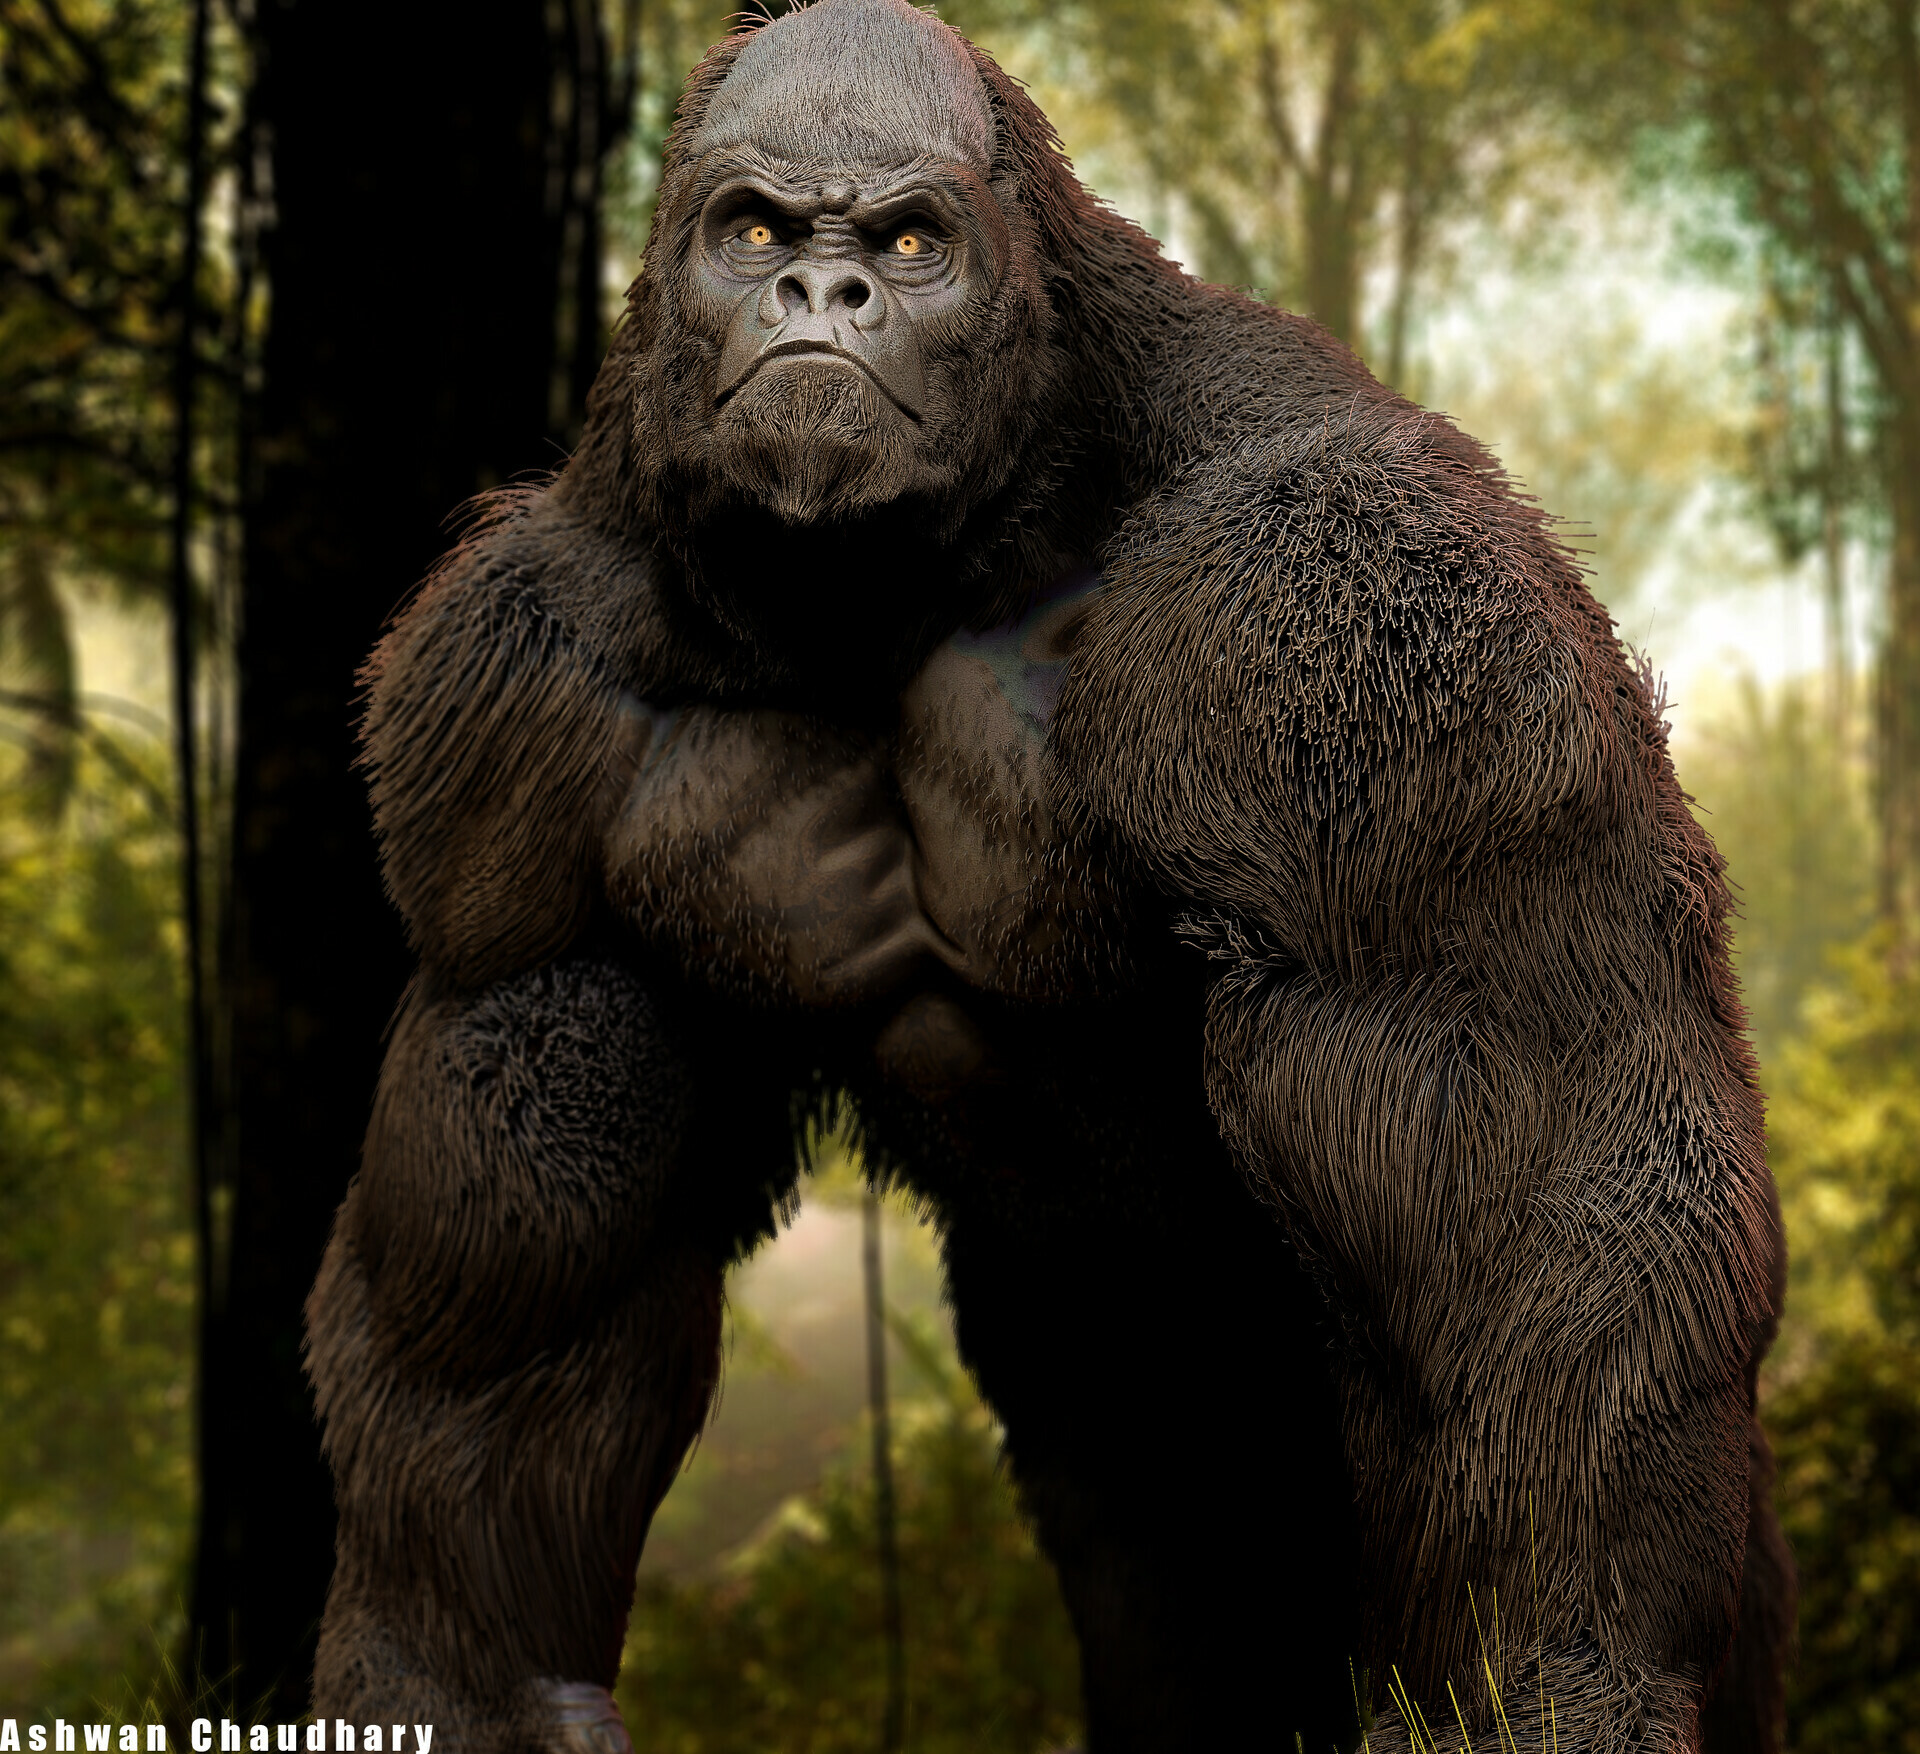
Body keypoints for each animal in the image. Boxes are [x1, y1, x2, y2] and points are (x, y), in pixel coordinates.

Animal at [305, 1, 1793, 1749]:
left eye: (909, 242)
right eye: (754, 233)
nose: (823, 298)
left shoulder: (1341, 581)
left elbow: (1537, 1198)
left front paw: (1560, 1681)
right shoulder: (521, 684)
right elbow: (521, 1206)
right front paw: (454, 1680)